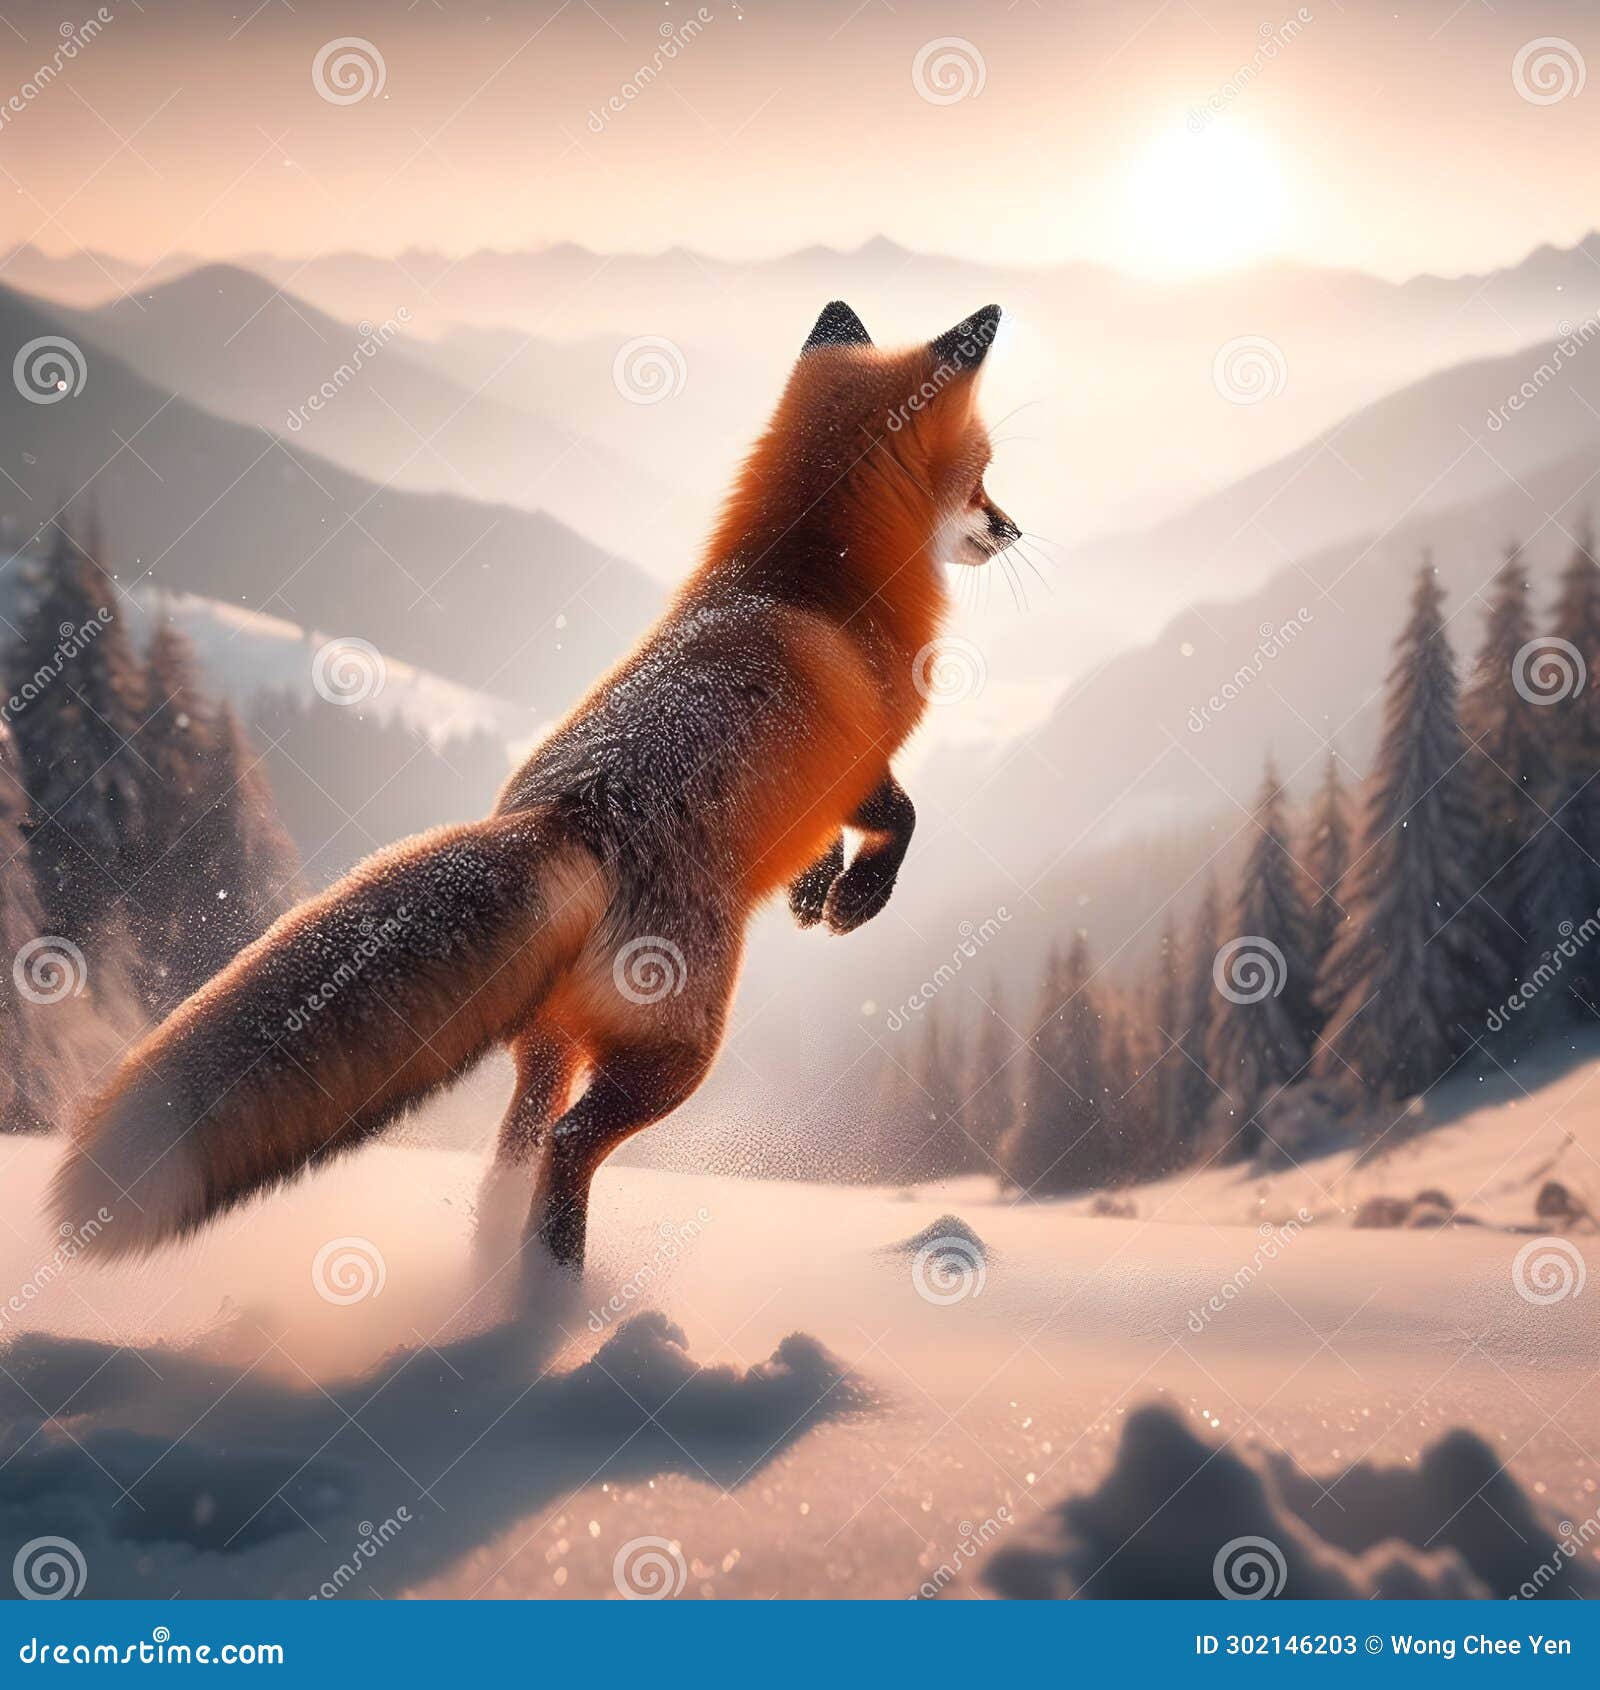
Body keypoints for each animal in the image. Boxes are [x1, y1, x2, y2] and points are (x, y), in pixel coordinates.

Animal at [53, 300, 1018, 1271]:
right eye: (982, 476)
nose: (1013, 530)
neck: (807, 581)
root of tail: (568, 818)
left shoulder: (818, 793)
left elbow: (831, 842)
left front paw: (815, 894)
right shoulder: (860, 765)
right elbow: (902, 816)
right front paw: (859, 898)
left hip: (552, 1040)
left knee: (512, 1151)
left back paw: (502, 1277)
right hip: (679, 1054)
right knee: (567, 1143)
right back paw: (558, 1283)